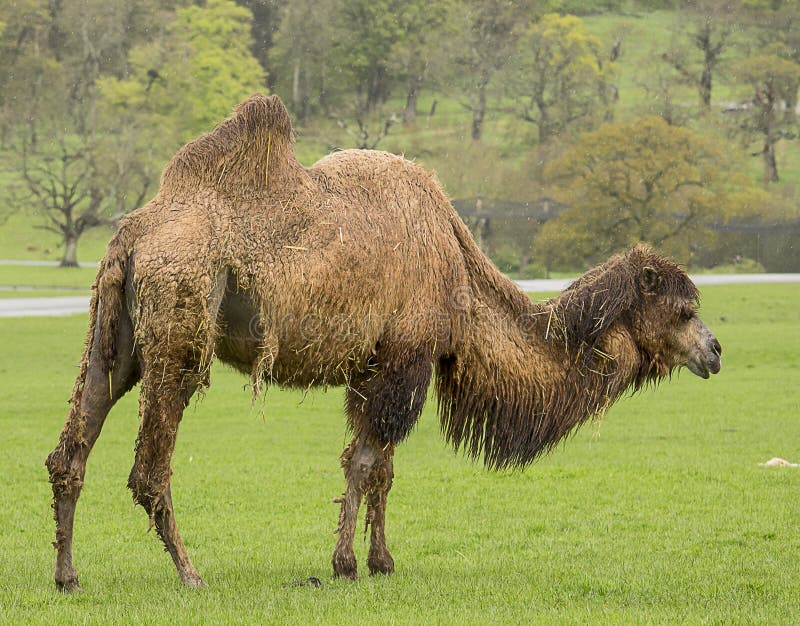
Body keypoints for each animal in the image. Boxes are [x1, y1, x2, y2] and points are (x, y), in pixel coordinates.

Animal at [46, 94, 722, 591]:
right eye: (685, 310)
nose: (715, 351)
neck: (458, 266)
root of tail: (131, 235)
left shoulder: (379, 363)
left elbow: (382, 467)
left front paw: (381, 561)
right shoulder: (405, 356)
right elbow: (367, 461)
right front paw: (347, 565)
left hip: (116, 336)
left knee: (72, 447)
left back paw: (67, 575)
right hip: (181, 322)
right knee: (148, 468)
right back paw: (190, 574)